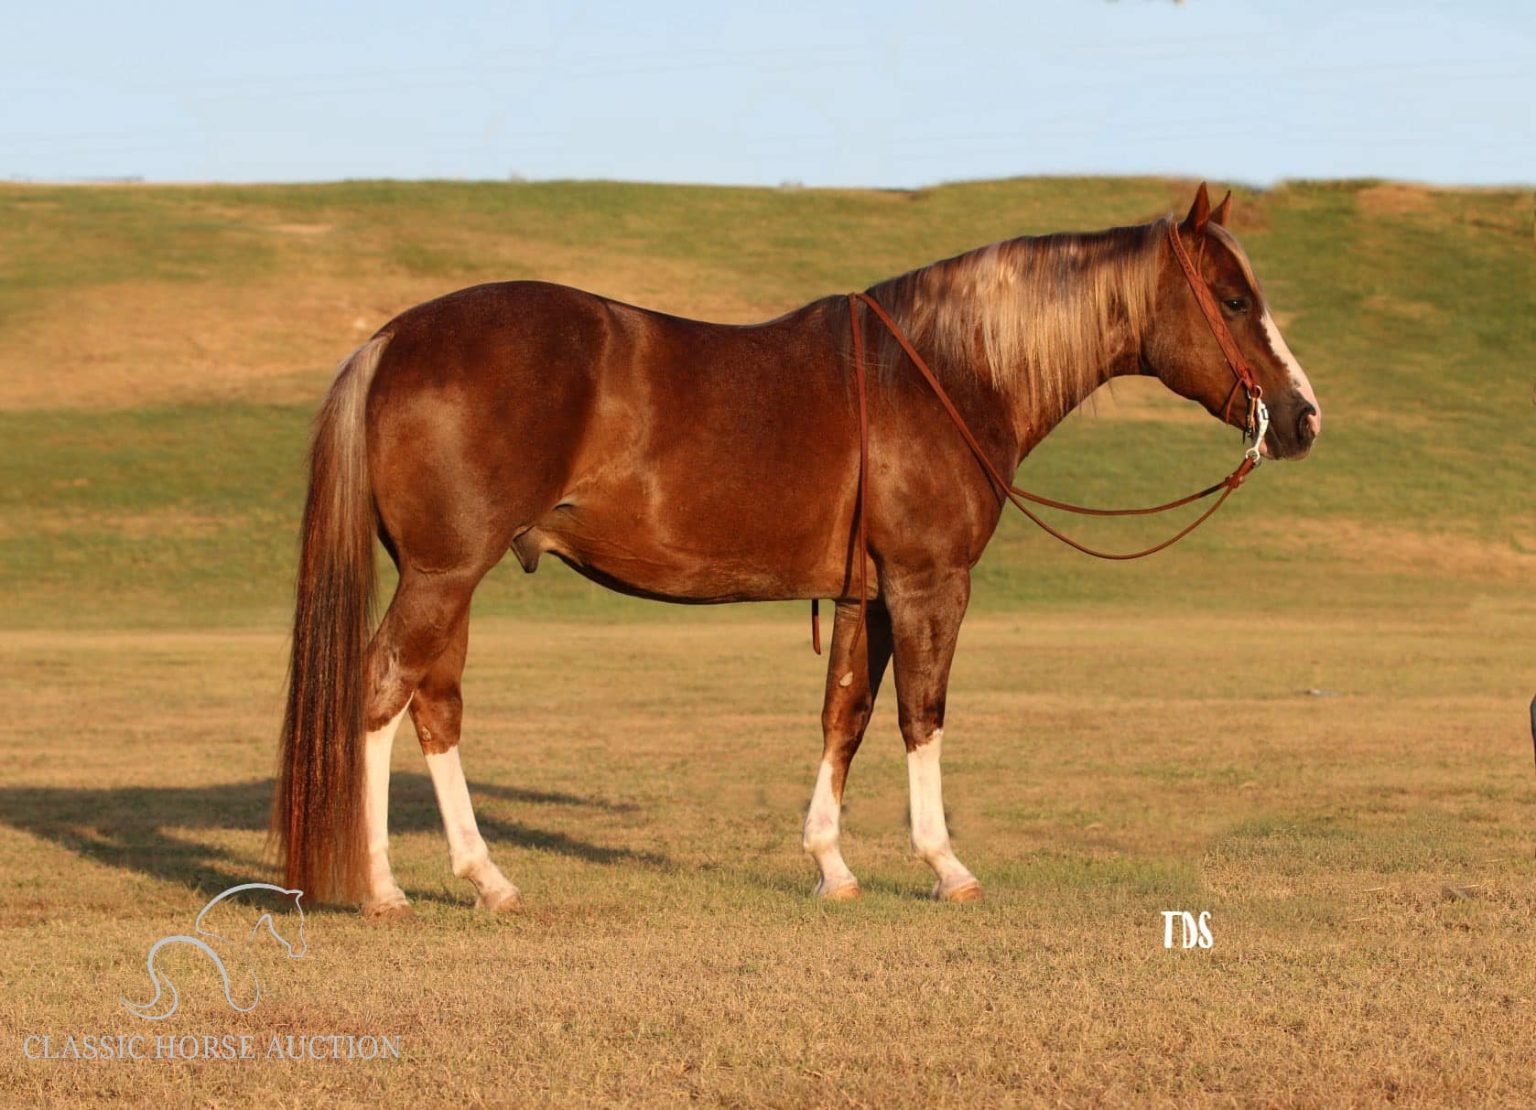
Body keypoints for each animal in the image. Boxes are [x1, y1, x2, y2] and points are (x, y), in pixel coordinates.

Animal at [270, 184, 1320, 916]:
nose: (1303, 418)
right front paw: (946, 866)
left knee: (434, 705)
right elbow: (922, 717)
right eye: (1233, 300)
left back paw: (486, 878)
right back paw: (384, 888)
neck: (940, 375)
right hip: (444, 574)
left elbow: (843, 718)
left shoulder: (867, 596)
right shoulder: (931, 586)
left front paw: (830, 865)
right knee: (382, 691)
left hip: (447, 576)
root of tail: (393, 338)